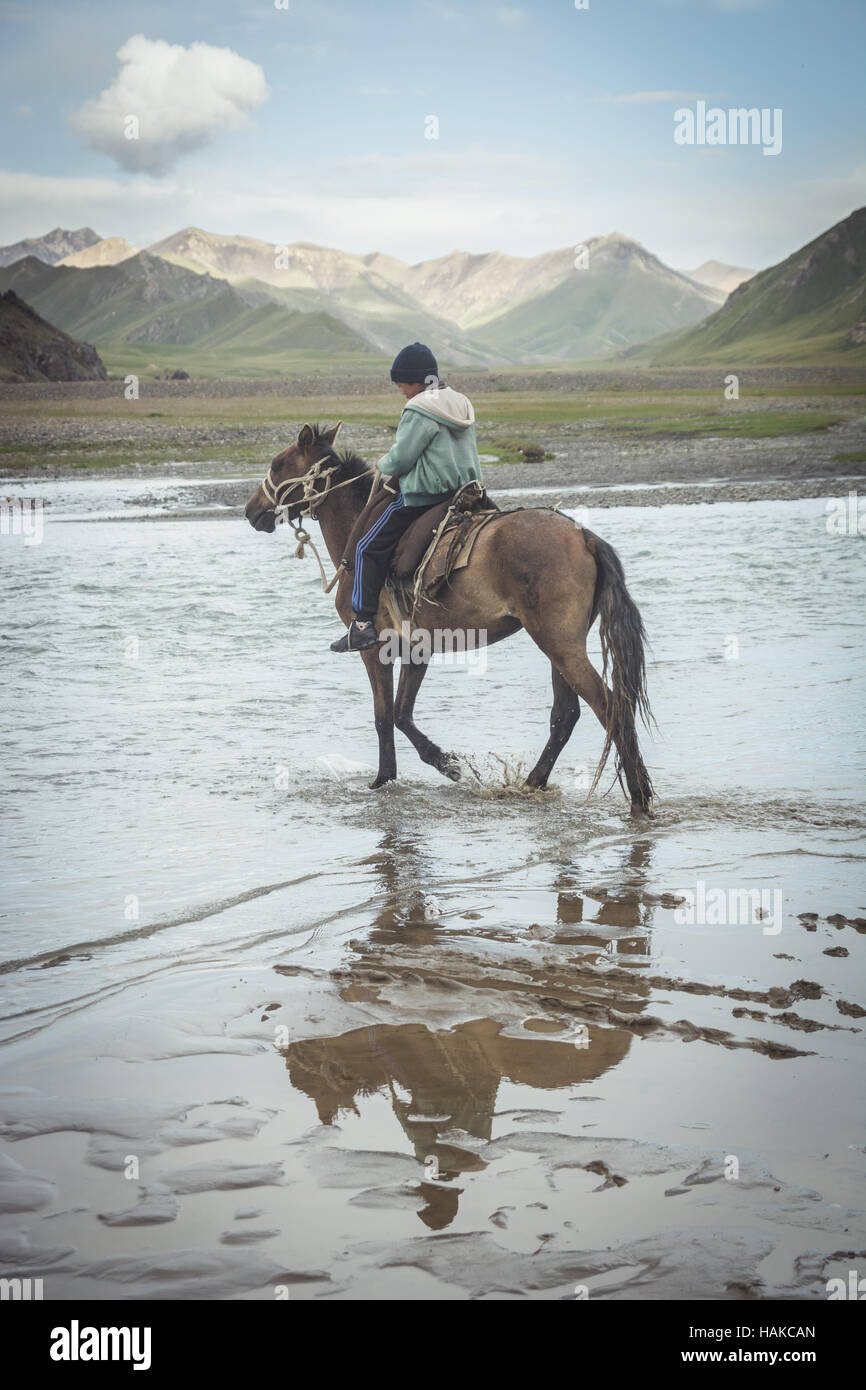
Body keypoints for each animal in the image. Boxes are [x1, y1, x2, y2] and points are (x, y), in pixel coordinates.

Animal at [245, 422, 655, 814]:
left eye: (277, 465)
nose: (251, 510)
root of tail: (583, 536)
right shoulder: (416, 650)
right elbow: (401, 714)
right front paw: (448, 765)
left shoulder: (375, 648)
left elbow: (383, 716)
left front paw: (389, 779)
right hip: (561, 647)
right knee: (566, 715)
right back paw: (532, 784)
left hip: (560, 645)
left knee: (610, 707)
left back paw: (638, 799)